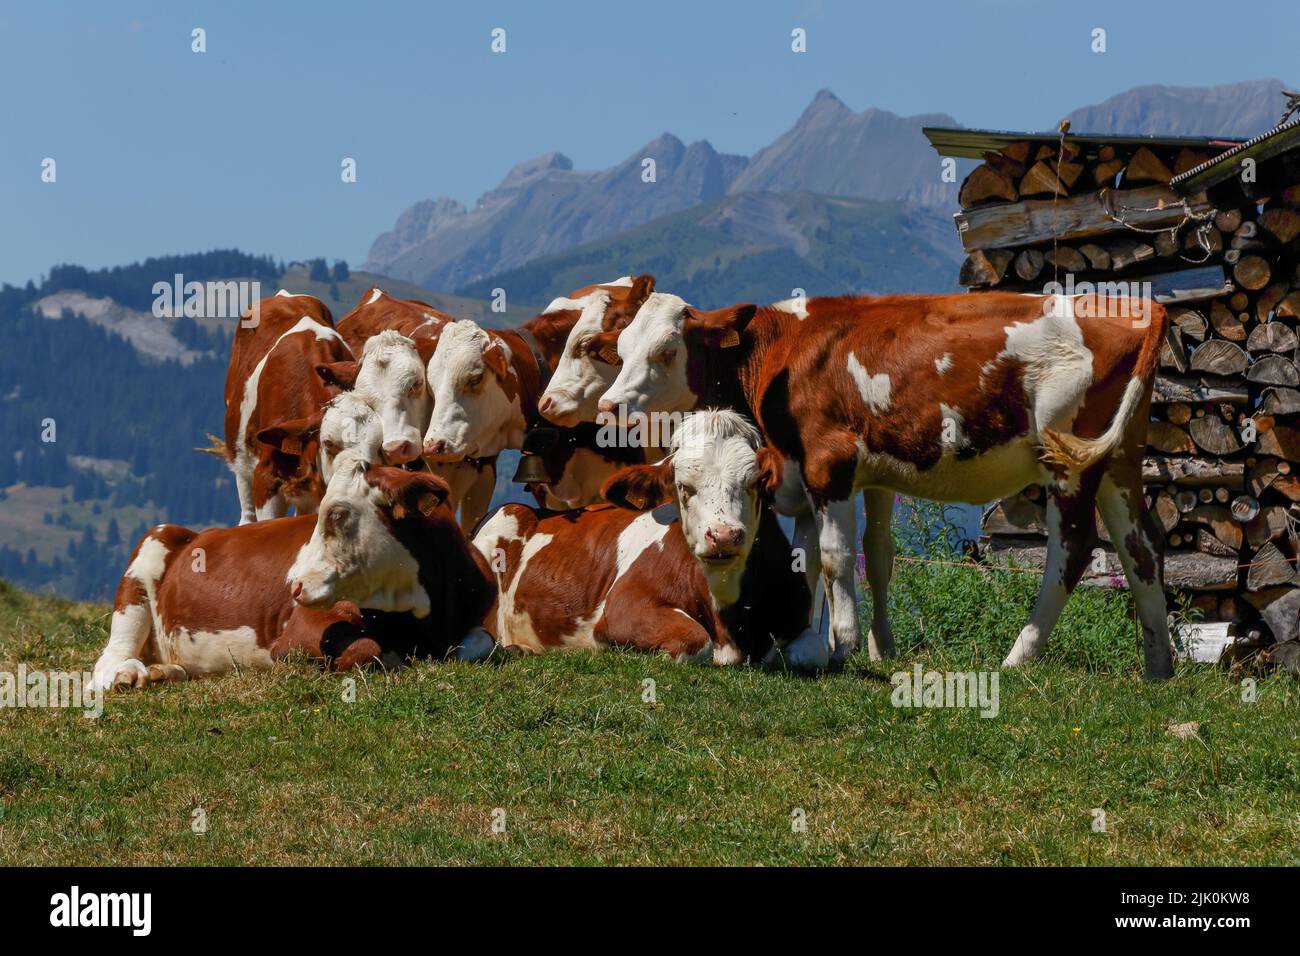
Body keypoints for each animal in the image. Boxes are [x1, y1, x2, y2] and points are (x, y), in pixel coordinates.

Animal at [597, 291, 1175, 680]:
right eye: (621, 350)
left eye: (667, 351)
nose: (609, 405)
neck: (783, 353)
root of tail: (1135, 306)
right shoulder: (849, 475)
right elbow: (862, 557)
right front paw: (867, 646)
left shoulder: (829, 464)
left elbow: (835, 558)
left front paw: (843, 646)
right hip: (1117, 461)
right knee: (1141, 547)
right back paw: (1158, 665)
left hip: (1067, 463)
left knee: (1073, 549)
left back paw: (1019, 655)